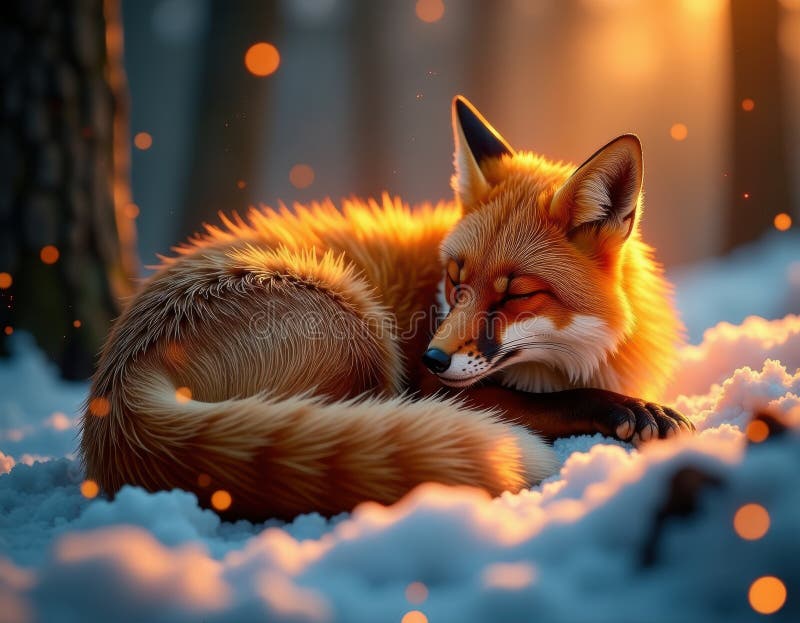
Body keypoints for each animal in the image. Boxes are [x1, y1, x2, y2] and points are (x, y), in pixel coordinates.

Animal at [80, 96, 692, 521]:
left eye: (516, 293)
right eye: (456, 279)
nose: (432, 359)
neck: (584, 356)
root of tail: (116, 379)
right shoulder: (455, 393)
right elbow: (562, 401)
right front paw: (632, 410)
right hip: (358, 328)